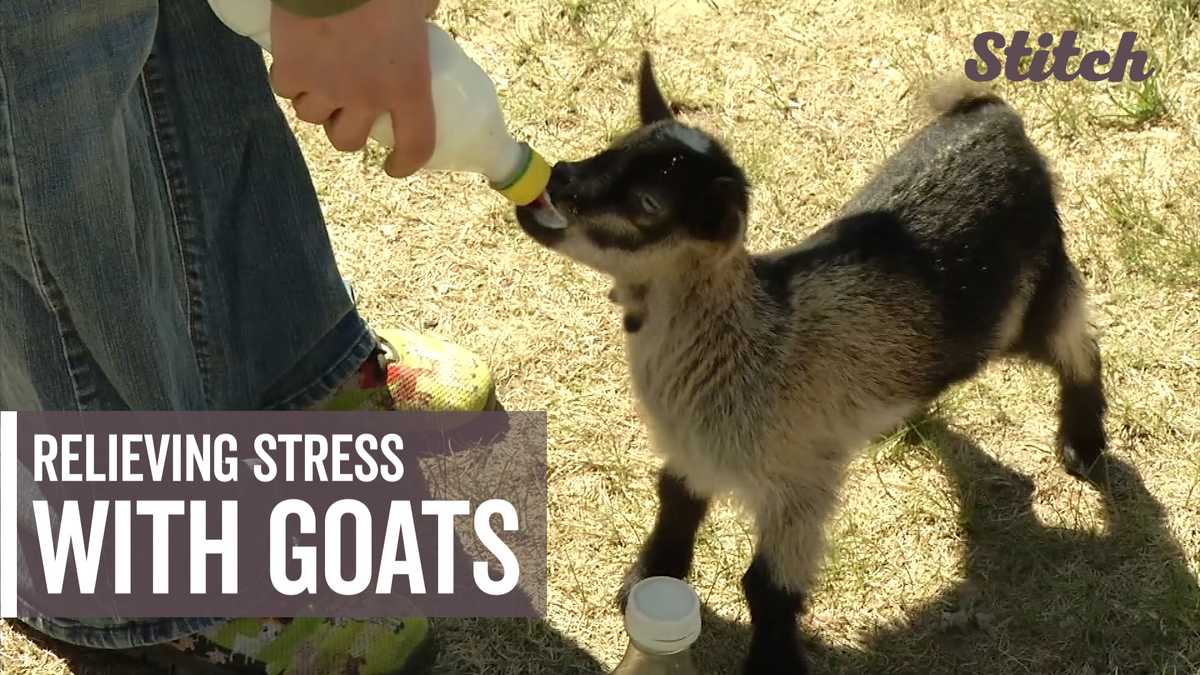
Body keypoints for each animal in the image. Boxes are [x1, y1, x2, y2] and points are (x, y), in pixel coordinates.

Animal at [517, 55, 1108, 674]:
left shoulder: (802, 483)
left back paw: (1083, 445)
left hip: (1031, 297)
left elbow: (765, 586)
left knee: (1078, 342)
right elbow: (674, 506)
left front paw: (772, 663)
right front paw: (642, 583)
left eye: (648, 205)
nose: (558, 178)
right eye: (612, 149)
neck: (752, 342)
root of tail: (997, 117)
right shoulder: (692, 450)